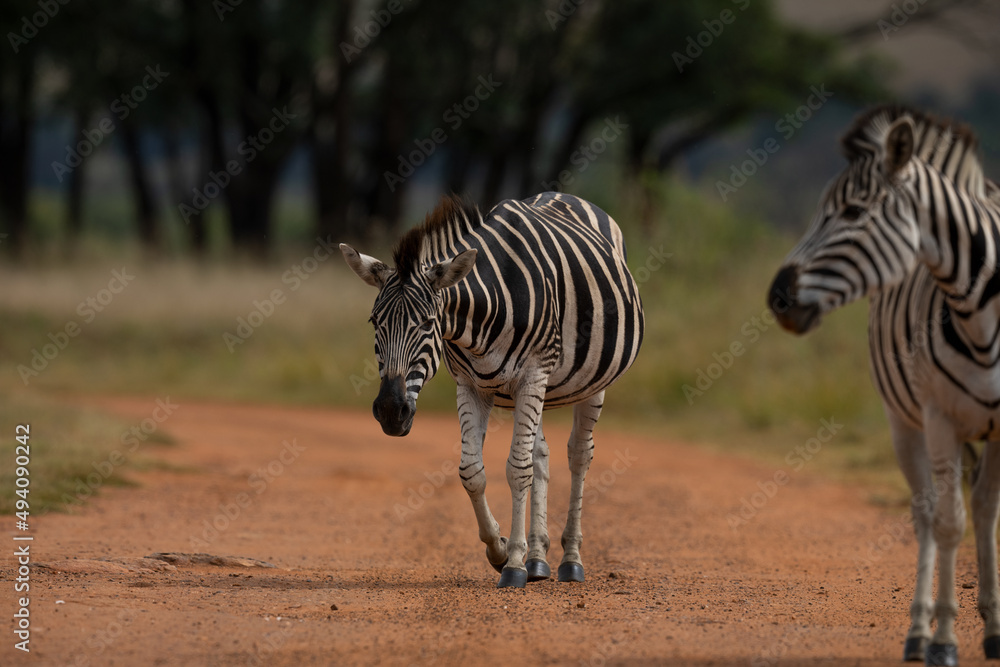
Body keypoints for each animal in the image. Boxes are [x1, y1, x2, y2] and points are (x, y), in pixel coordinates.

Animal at [340, 192, 644, 588]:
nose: (392, 412)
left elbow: (517, 469)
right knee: (540, 454)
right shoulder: (471, 385)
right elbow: (472, 471)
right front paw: (499, 550)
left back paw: (570, 560)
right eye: (375, 322)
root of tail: (565, 194)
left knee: (578, 455)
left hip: (590, 383)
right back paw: (538, 558)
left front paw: (513, 564)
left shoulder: (533, 374)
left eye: (428, 323)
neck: (480, 320)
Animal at [768, 104, 1000, 666]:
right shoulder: (940, 418)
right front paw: (943, 639)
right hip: (904, 422)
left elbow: (981, 513)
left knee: (982, 508)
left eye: (854, 213)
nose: (776, 298)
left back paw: (989, 626)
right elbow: (948, 522)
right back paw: (919, 631)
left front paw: (980, 627)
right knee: (927, 512)